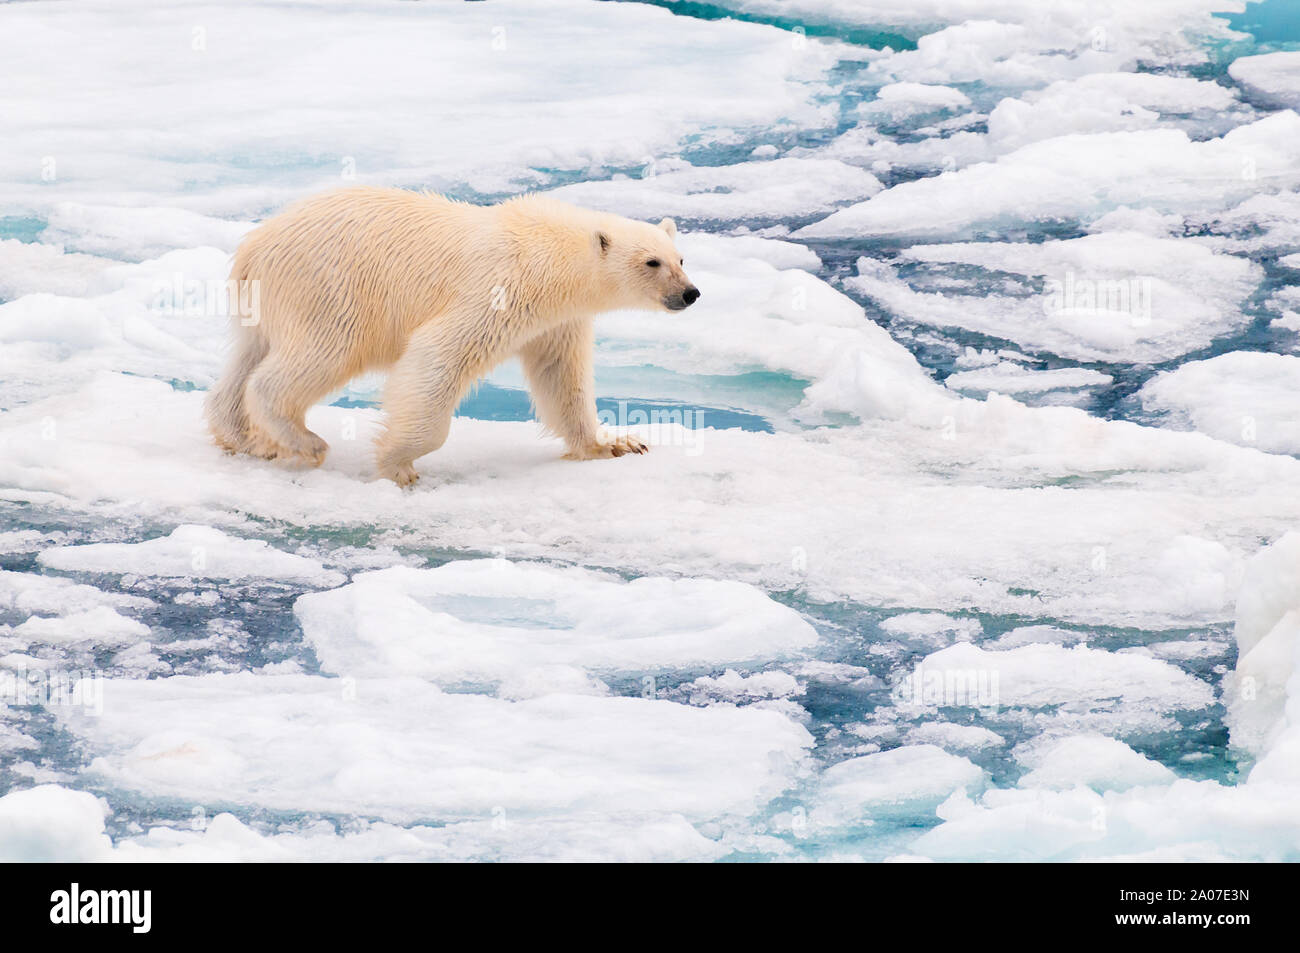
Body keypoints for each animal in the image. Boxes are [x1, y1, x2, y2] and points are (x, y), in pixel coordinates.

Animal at [204, 186, 699, 486]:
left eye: (681, 258)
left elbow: (560, 376)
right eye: (652, 262)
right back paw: (303, 442)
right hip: (330, 292)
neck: (551, 253)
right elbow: (438, 355)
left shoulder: (558, 320)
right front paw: (399, 466)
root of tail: (253, 249)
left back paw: (243, 437)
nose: (689, 294)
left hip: (263, 306)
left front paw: (614, 444)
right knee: (317, 356)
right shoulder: (499, 290)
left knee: (247, 357)